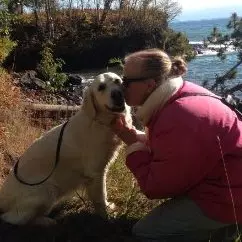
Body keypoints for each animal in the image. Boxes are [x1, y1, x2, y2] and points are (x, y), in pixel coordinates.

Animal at [0, 71, 132, 225]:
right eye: (101, 87)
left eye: (117, 81)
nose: (117, 94)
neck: (98, 121)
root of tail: (2, 197)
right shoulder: (96, 172)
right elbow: (101, 196)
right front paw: (107, 216)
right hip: (47, 190)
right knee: (13, 218)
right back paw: (46, 221)